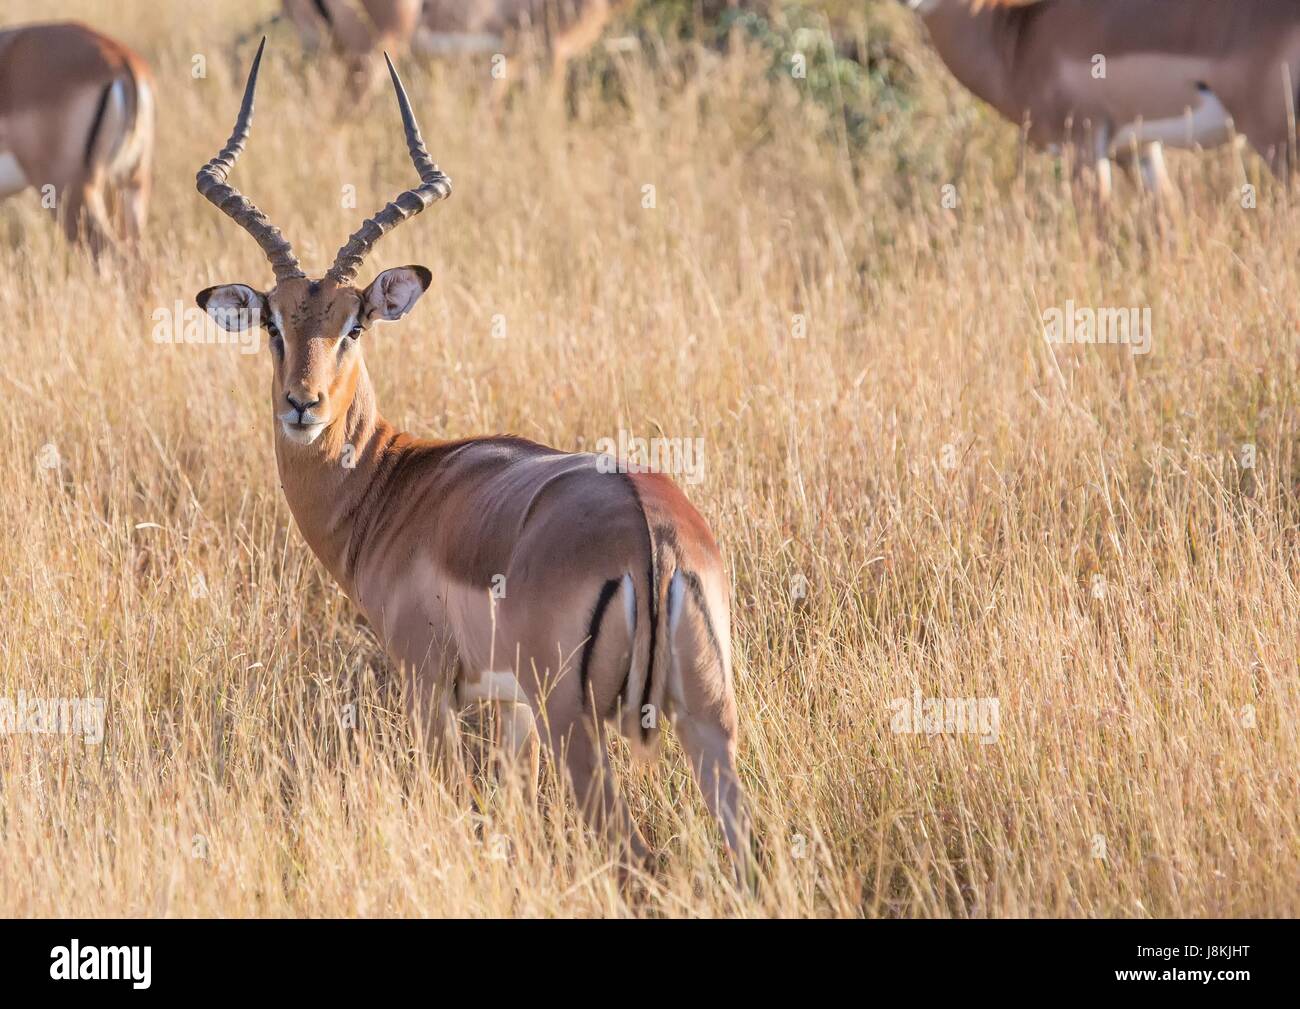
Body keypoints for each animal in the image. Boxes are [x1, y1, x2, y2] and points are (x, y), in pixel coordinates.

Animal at [194, 41, 749, 866]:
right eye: (272, 323)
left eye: (354, 323)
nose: (303, 404)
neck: (396, 483)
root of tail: (653, 532)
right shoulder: (509, 708)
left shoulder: (430, 687)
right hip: (709, 722)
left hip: (576, 724)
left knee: (628, 850)